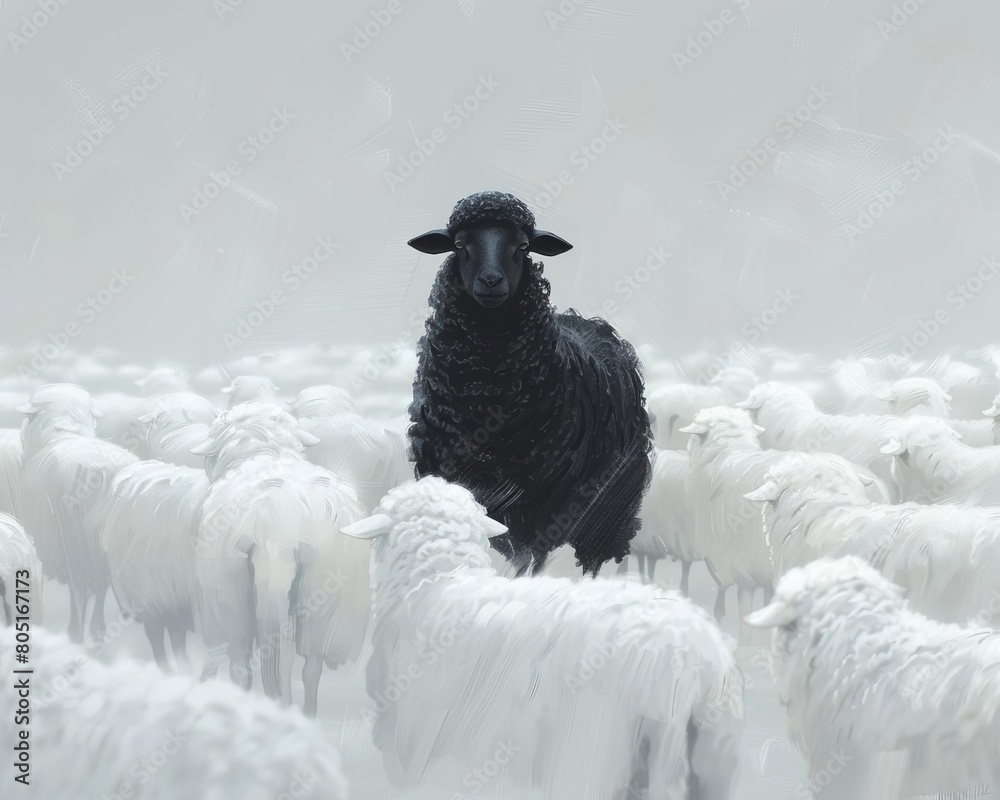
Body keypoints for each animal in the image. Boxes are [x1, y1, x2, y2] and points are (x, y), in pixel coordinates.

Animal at [18, 384, 139, 642]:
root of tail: (104, 473)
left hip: (77, 545)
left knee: (82, 592)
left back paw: (77, 634)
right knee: (99, 586)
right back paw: (96, 632)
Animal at [191, 402, 370, 716]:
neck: (268, 451)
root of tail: (281, 526)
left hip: (231, 600)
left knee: (248, 660)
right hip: (324, 591)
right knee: (310, 663)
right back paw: (308, 715)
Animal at [407, 190, 653, 576]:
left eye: (522, 246)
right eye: (460, 245)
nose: (491, 281)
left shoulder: (541, 507)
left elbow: (528, 561)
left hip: (610, 505)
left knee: (595, 554)